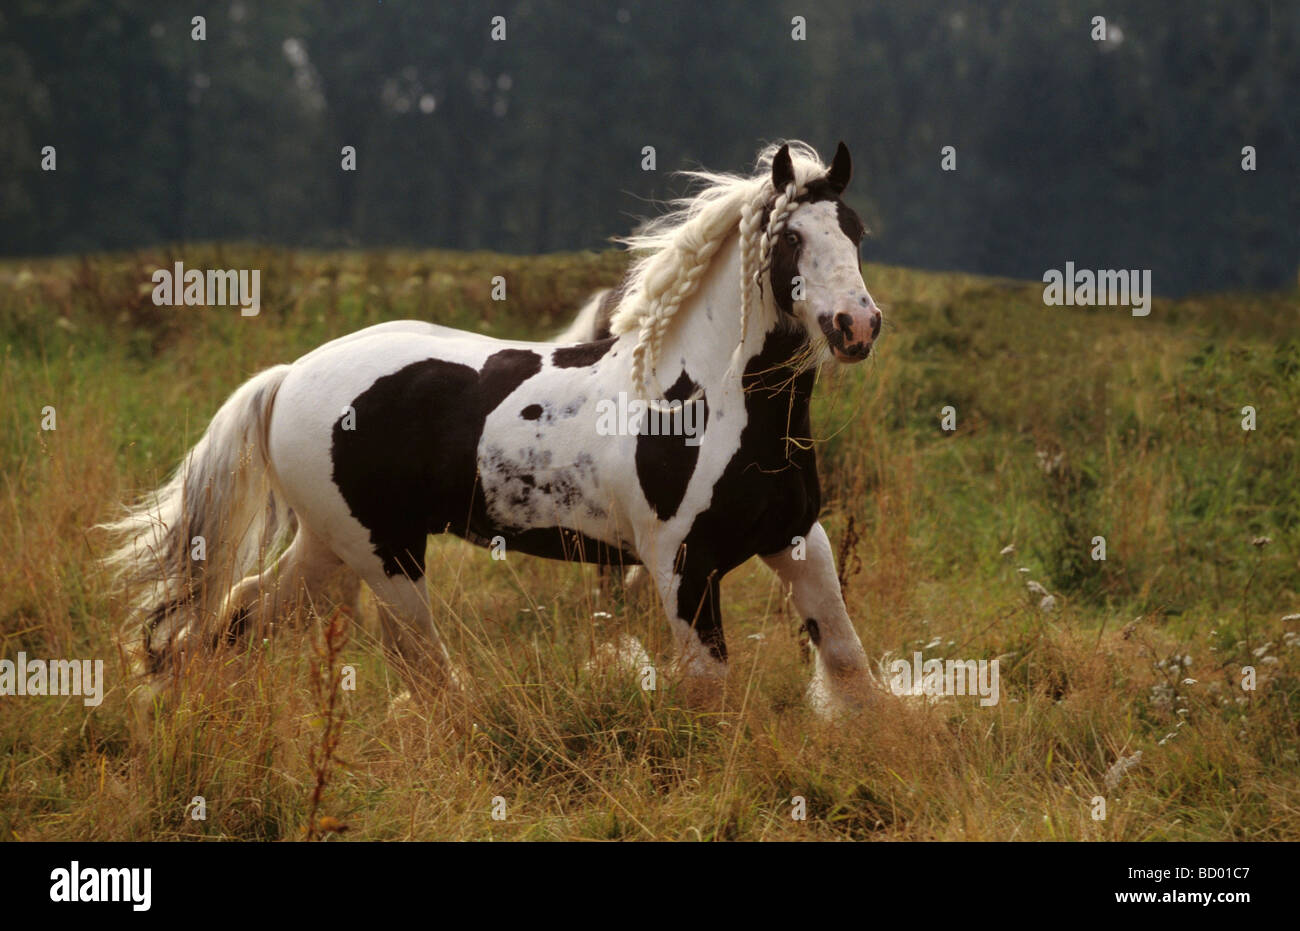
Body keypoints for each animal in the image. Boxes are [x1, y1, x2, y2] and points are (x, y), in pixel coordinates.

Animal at [102, 140, 885, 715]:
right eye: (790, 238)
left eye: (855, 232)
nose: (857, 325)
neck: (704, 400)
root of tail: (290, 375)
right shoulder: (679, 563)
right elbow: (709, 687)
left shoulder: (795, 540)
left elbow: (848, 660)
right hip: (385, 553)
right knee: (420, 663)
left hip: (329, 547)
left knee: (239, 615)